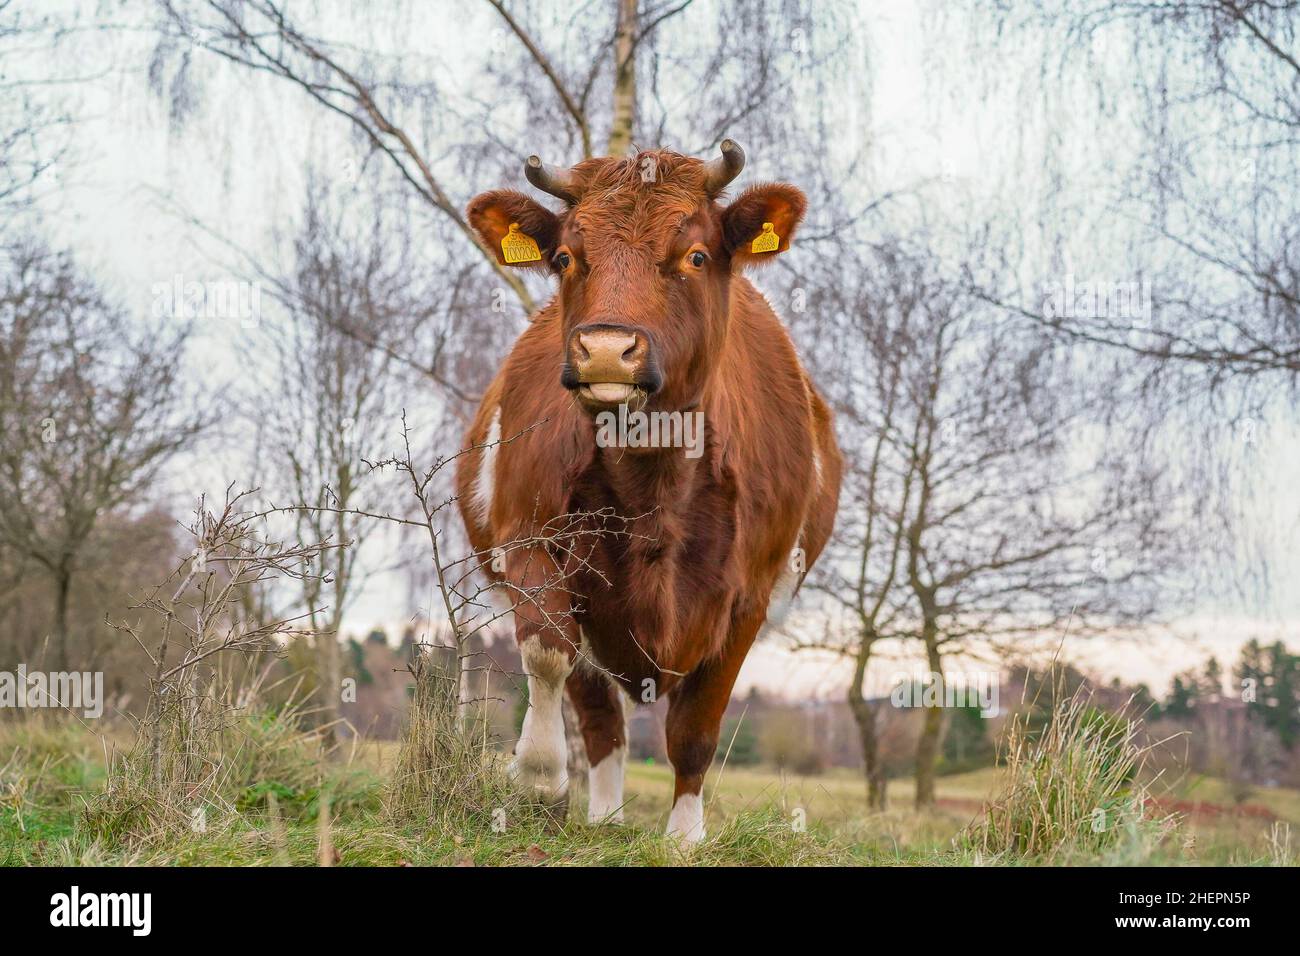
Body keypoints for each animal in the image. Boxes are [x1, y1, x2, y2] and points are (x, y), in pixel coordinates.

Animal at [456, 140, 841, 845]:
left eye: (695, 255)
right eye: (564, 257)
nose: (607, 350)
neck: (651, 475)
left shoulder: (748, 594)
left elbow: (696, 727)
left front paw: (685, 836)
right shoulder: (528, 540)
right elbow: (548, 653)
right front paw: (538, 776)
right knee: (601, 716)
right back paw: (603, 814)